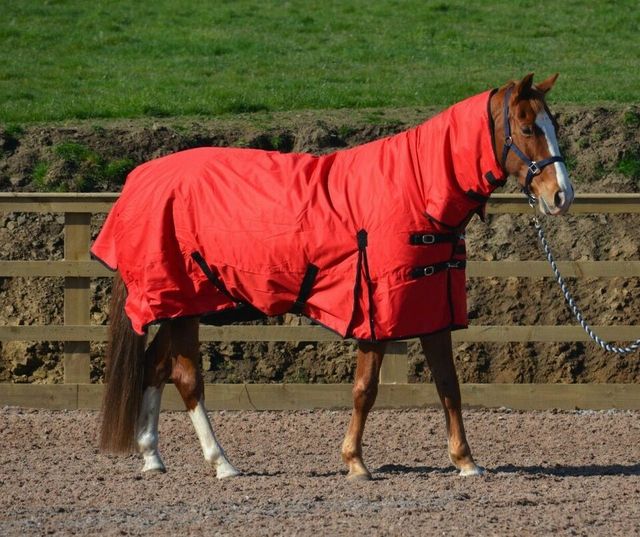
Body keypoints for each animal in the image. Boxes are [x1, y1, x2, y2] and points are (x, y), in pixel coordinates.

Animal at [94, 73, 574, 480]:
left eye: (553, 125)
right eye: (527, 128)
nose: (561, 195)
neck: (415, 189)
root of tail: (140, 180)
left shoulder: (432, 307)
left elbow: (448, 385)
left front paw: (465, 462)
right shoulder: (374, 313)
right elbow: (365, 389)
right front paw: (355, 462)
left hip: (181, 308)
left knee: (155, 367)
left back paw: (152, 456)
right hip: (183, 306)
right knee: (186, 377)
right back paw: (222, 463)